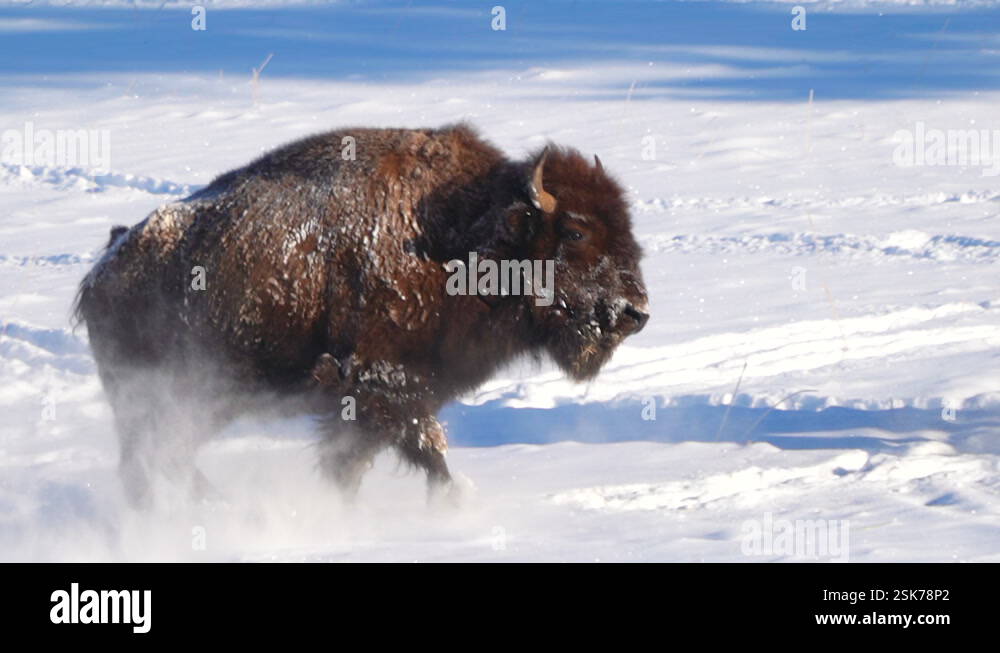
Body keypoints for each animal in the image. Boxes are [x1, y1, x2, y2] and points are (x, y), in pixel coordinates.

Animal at [75, 123, 649, 507]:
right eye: (575, 230)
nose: (635, 312)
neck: (465, 240)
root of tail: (103, 270)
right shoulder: (379, 386)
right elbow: (402, 452)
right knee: (150, 460)